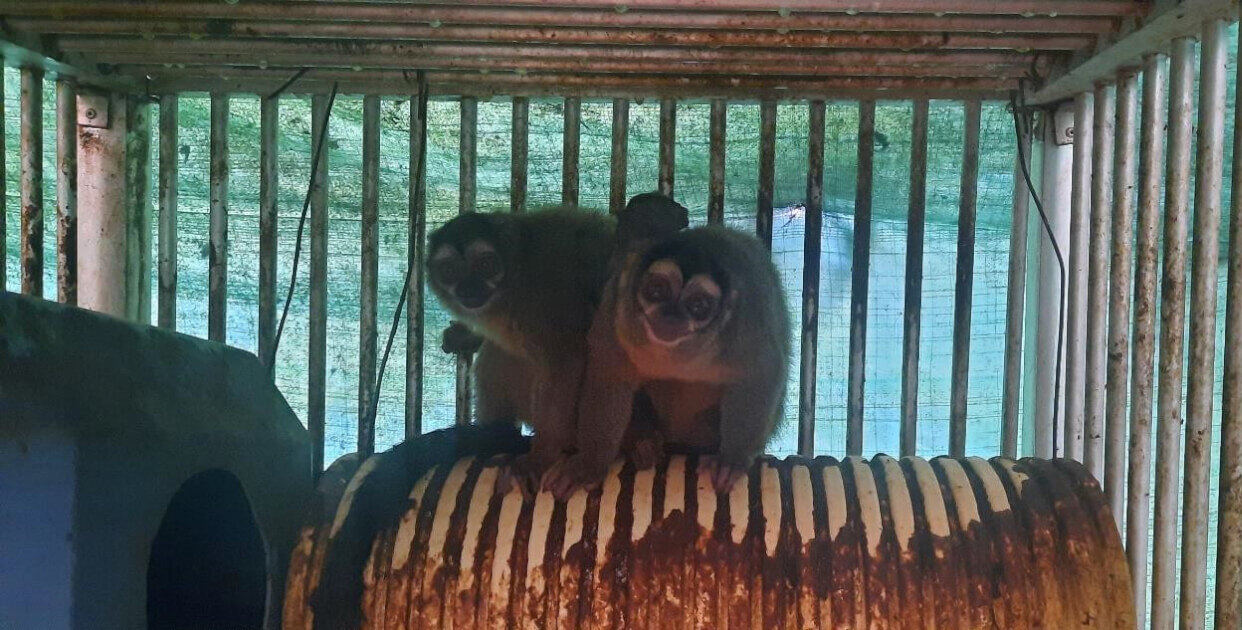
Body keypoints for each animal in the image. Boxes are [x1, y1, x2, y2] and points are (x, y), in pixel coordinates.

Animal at [545, 225, 791, 498]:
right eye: (657, 289)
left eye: (698, 305)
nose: (671, 316)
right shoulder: (615, 312)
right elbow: (609, 377)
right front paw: (589, 463)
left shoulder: (746, 322)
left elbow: (763, 371)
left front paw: (731, 460)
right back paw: (643, 441)